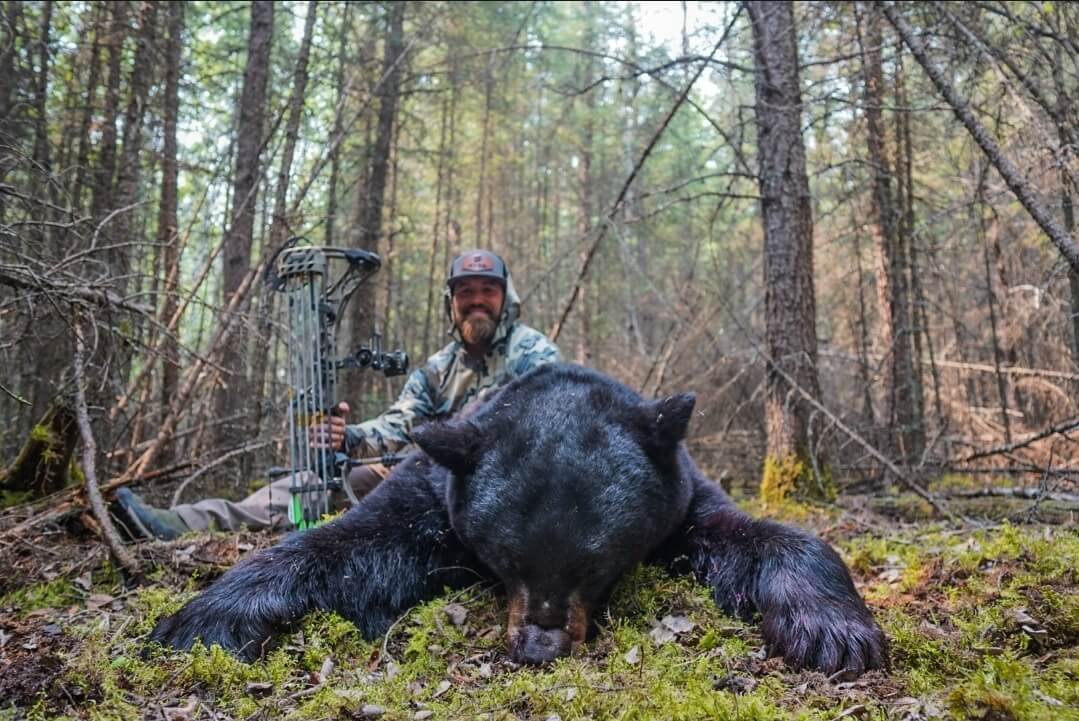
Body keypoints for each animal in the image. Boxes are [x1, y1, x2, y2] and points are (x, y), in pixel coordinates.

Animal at [151, 363, 887, 676]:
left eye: (597, 562)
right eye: (505, 556)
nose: (539, 647)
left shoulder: (683, 503)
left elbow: (765, 538)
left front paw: (834, 631)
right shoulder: (433, 496)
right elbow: (346, 545)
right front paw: (208, 617)